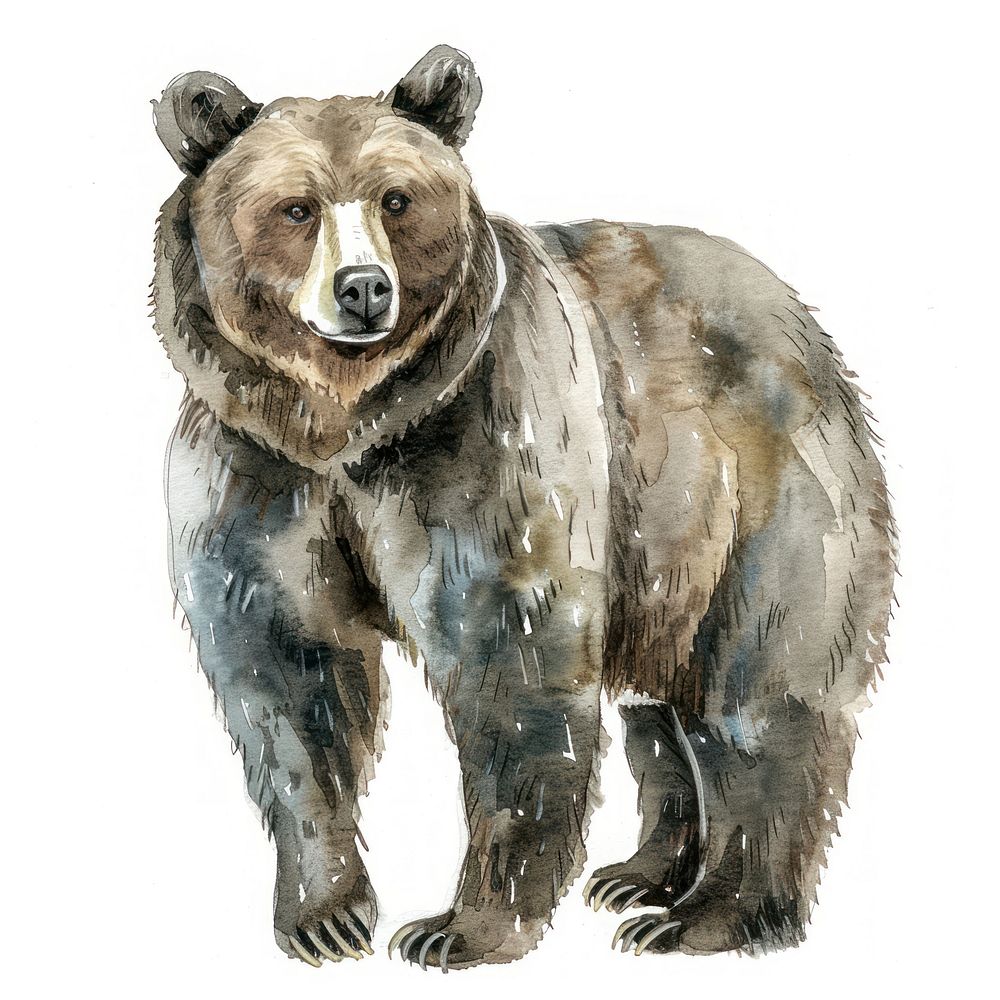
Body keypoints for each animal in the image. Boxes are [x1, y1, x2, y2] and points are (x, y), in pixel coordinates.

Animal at [151, 45, 897, 970]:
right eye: (296, 207)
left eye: (396, 198)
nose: (363, 290)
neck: (348, 423)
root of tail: (795, 312)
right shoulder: (256, 477)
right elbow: (289, 672)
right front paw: (324, 917)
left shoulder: (491, 445)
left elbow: (514, 664)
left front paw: (457, 929)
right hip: (659, 543)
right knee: (658, 705)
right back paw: (641, 876)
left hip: (757, 495)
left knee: (756, 688)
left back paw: (710, 915)